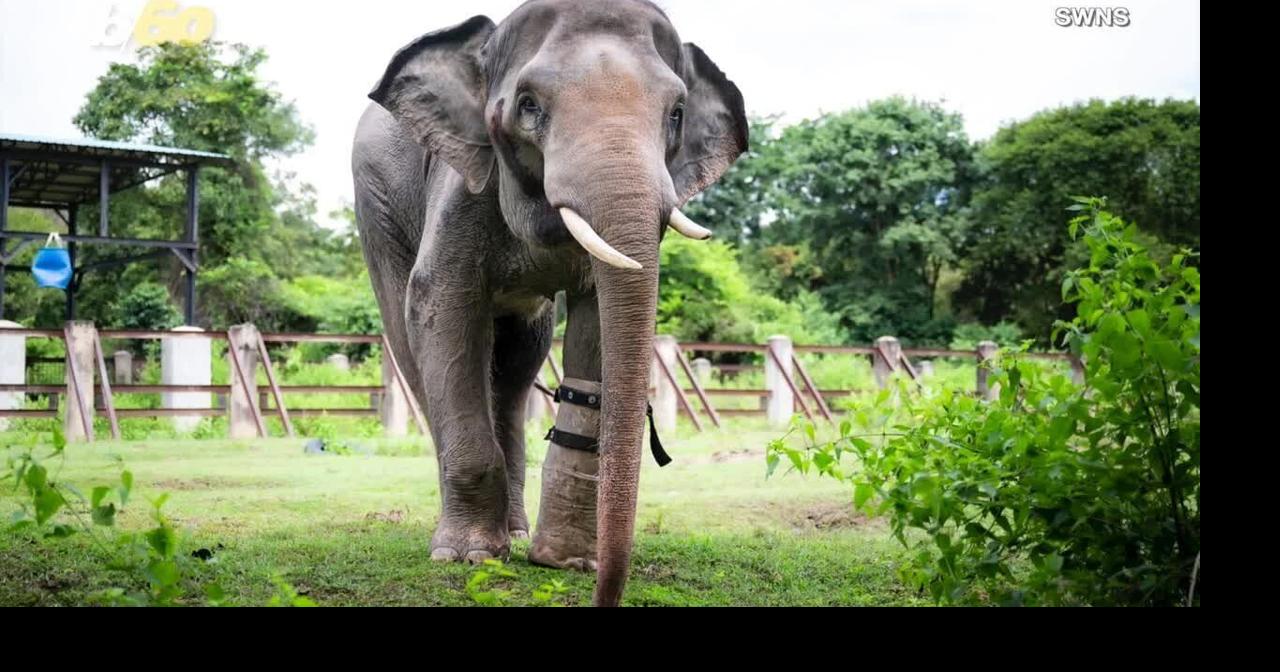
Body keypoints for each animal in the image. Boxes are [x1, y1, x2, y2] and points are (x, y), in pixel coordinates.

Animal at [350, 0, 747, 607]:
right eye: (529, 106)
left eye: (677, 113)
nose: (603, 594)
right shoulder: (464, 182)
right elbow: (442, 304)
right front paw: (469, 558)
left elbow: (598, 318)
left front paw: (566, 561)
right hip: (375, 204)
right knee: (414, 347)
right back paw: (472, 541)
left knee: (517, 368)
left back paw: (513, 534)